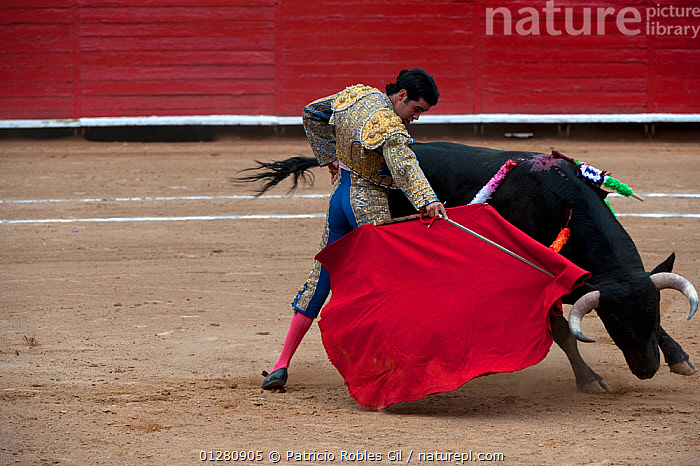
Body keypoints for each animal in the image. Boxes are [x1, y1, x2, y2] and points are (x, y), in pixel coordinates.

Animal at [236, 141, 698, 393]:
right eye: (613, 323)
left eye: (656, 315)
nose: (646, 369)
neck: (562, 200)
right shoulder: (548, 284)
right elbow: (564, 333)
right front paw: (589, 380)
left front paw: (679, 357)